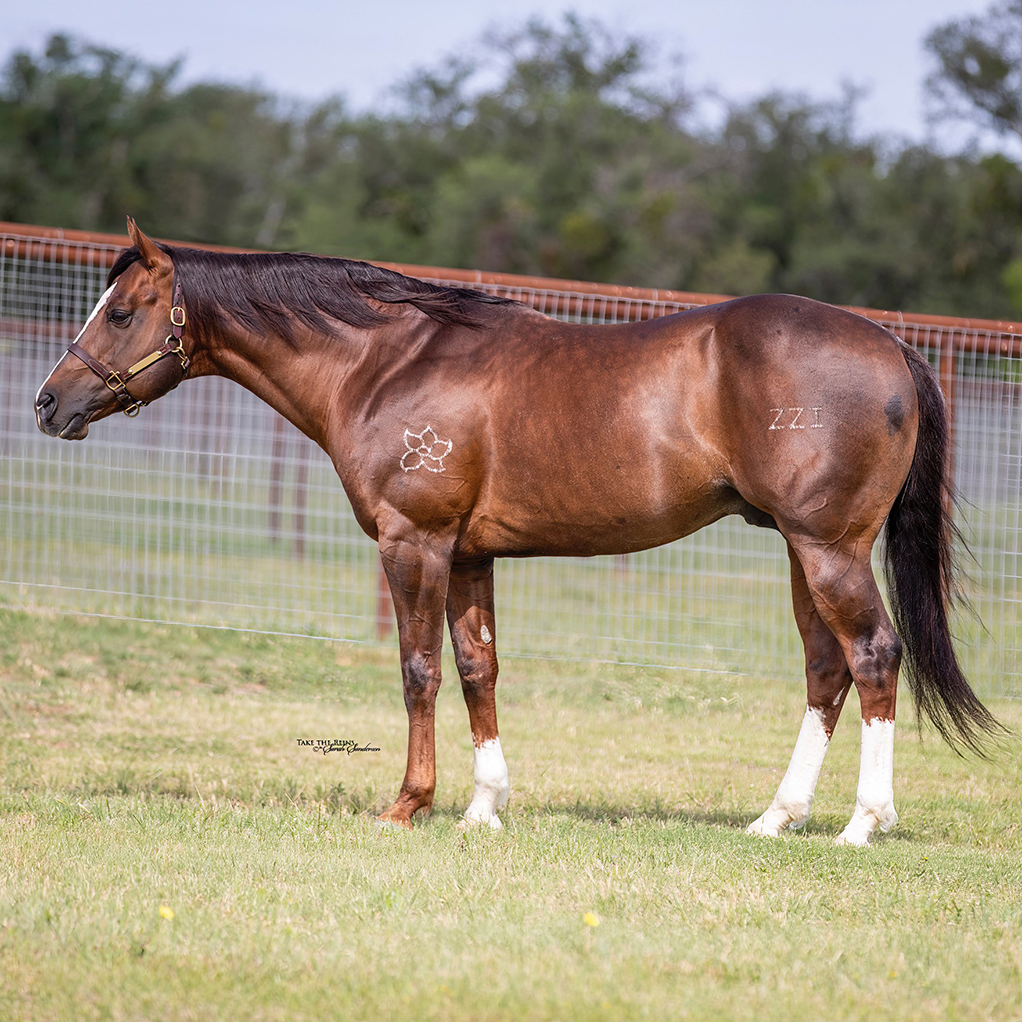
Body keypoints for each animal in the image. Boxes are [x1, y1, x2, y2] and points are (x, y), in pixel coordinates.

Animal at [35, 218, 1001, 845]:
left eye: (120, 310)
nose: (48, 404)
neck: (386, 363)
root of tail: (891, 346)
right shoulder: (470, 555)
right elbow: (477, 670)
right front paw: (482, 807)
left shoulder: (414, 543)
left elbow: (418, 670)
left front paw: (408, 805)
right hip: (803, 553)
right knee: (826, 670)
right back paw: (775, 818)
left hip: (828, 549)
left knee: (874, 656)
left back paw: (861, 824)